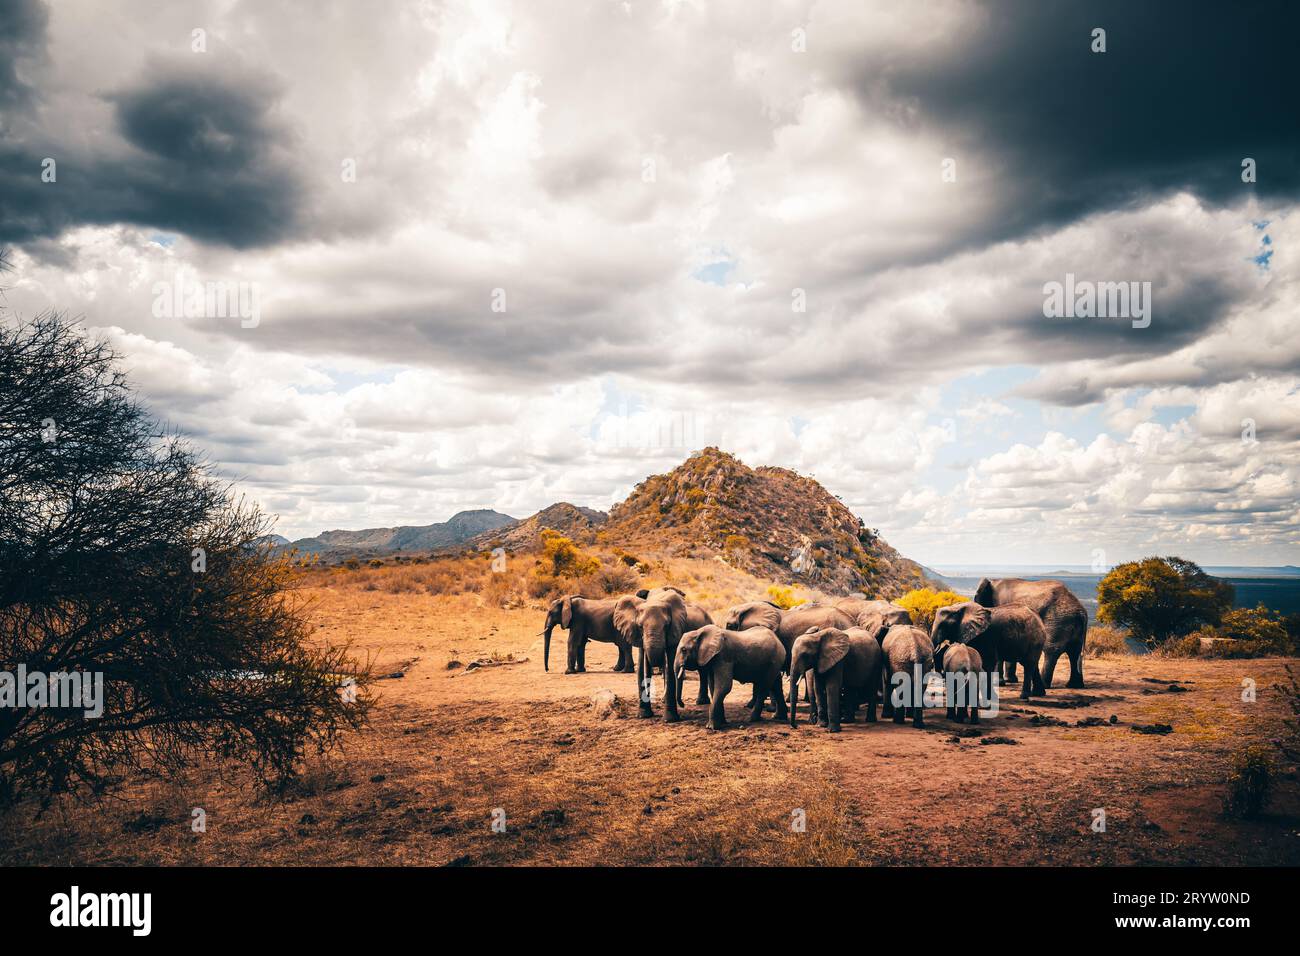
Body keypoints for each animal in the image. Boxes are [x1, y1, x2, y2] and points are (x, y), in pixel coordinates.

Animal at [614, 587, 689, 722]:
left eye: (666, 626)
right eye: (640, 626)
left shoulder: (674, 631)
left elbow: (670, 668)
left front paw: (670, 720)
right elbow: (641, 670)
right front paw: (643, 716)